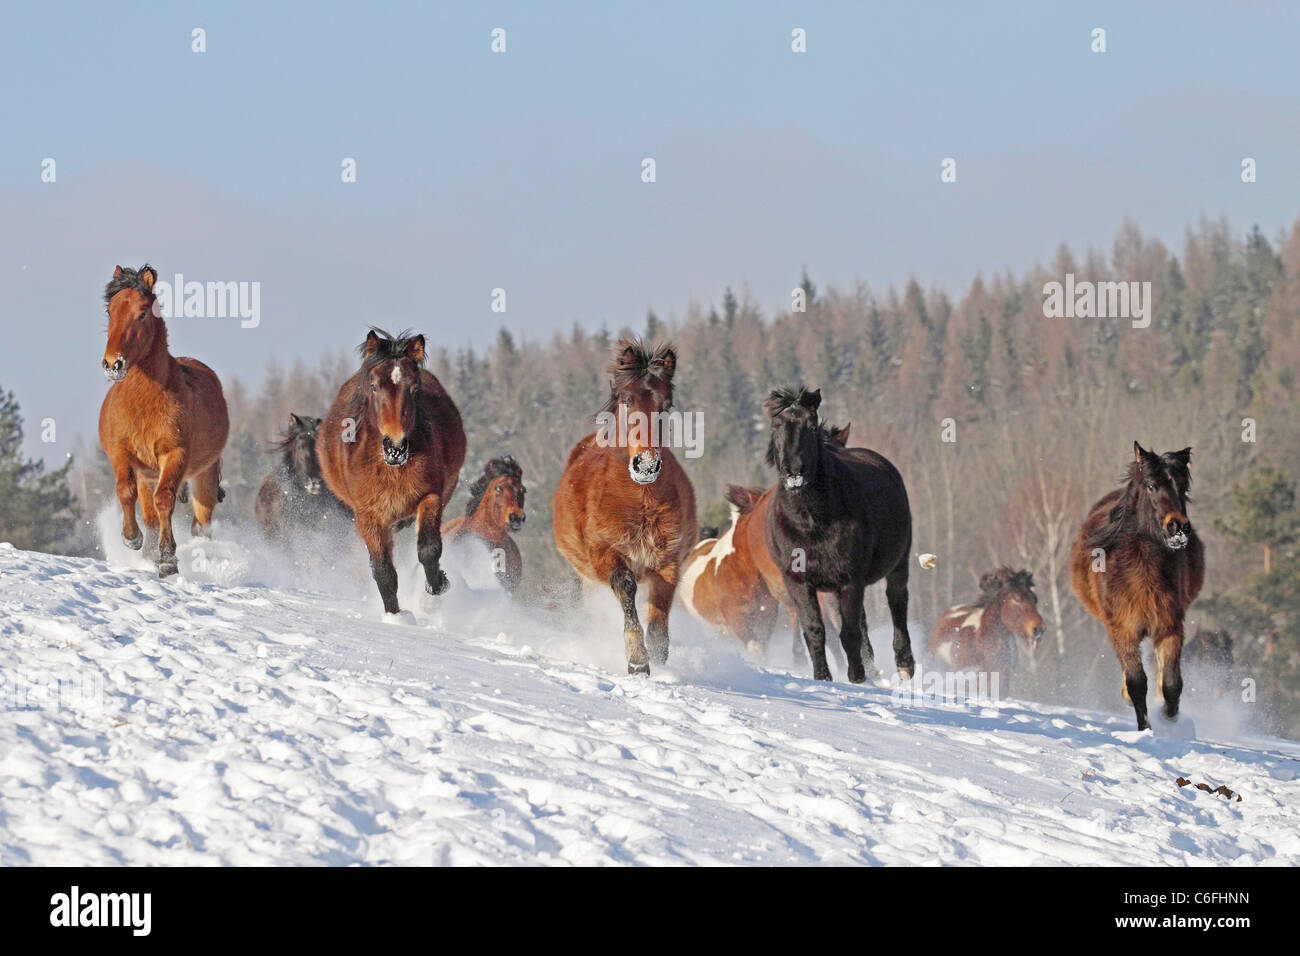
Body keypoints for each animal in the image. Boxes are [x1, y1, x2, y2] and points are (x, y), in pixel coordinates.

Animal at [98, 264, 229, 577]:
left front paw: (168, 559)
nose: (113, 364)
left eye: (143, 313)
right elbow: (125, 491)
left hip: (203, 476)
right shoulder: (121, 452)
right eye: (110, 310)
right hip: (147, 473)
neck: (143, 402)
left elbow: (165, 499)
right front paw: (132, 539)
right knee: (149, 513)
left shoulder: (175, 453)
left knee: (200, 523)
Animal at [318, 329, 467, 614]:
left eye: (415, 388)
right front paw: (395, 617)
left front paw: (438, 585)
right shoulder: (368, 515)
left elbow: (429, 549)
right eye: (374, 386)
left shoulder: (430, 496)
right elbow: (384, 572)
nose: (395, 447)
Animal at [552, 339, 697, 674]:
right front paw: (637, 660)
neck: (639, 500)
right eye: (627, 400)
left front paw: (657, 657)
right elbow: (626, 587)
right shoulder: (605, 553)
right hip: (588, 577)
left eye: (666, 404)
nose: (646, 464)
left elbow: (659, 618)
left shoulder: (668, 562)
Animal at [761, 386, 915, 683]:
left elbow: (849, 632)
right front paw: (823, 677)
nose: (793, 472)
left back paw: (904, 664)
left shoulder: (850, 579)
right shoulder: (799, 582)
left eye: (811, 426)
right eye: (775, 426)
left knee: (897, 603)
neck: (811, 522)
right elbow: (815, 629)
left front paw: (857, 677)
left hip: (898, 565)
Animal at [1069, 442, 1205, 730]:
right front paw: (1145, 730)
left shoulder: (1170, 624)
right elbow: (1136, 682)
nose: (1178, 527)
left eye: (1184, 487)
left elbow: (1172, 682)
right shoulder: (1122, 627)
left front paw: (1168, 715)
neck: (1142, 568)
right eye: (1152, 485)